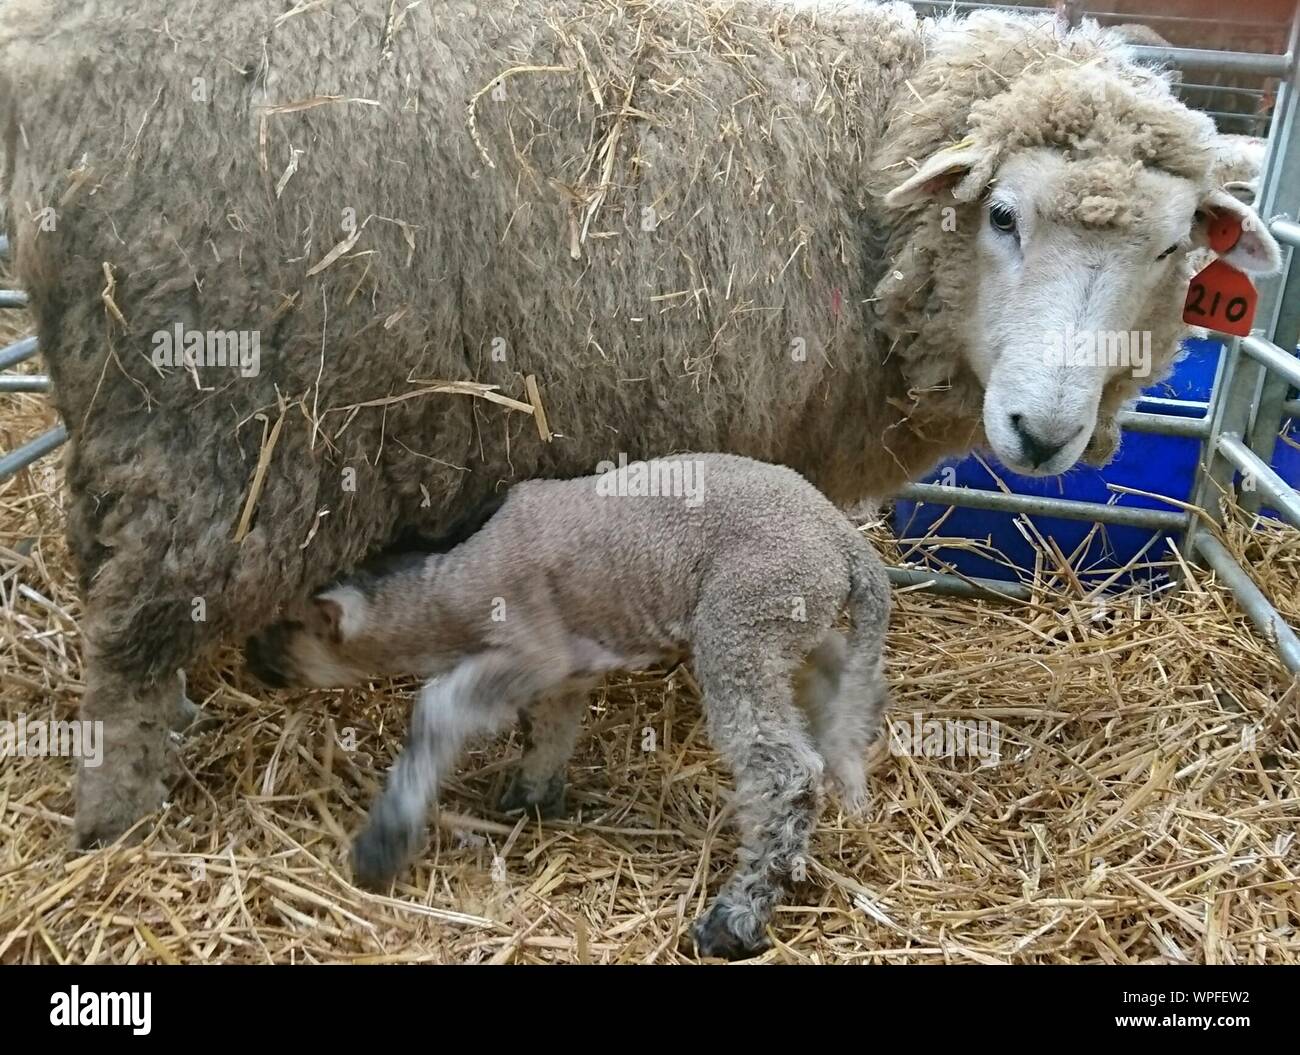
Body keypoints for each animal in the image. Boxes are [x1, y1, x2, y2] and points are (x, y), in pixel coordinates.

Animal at [0, 0, 1280, 844]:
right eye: (1002, 215)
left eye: (1170, 247)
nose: (1042, 432)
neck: (865, 177)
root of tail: (50, 58)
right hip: (212, 426)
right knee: (130, 630)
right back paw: (115, 818)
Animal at [246, 453, 891, 959]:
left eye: (289, 624)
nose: (252, 658)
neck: (445, 596)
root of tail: (846, 543)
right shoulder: (566, 669)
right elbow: (551, 727)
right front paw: (531, 799)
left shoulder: (532, 650)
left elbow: (438, 709)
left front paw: (382, 846)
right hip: (790, 625)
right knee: (840, 682)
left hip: (745, 620)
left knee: (787, 773)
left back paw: (736, 918)